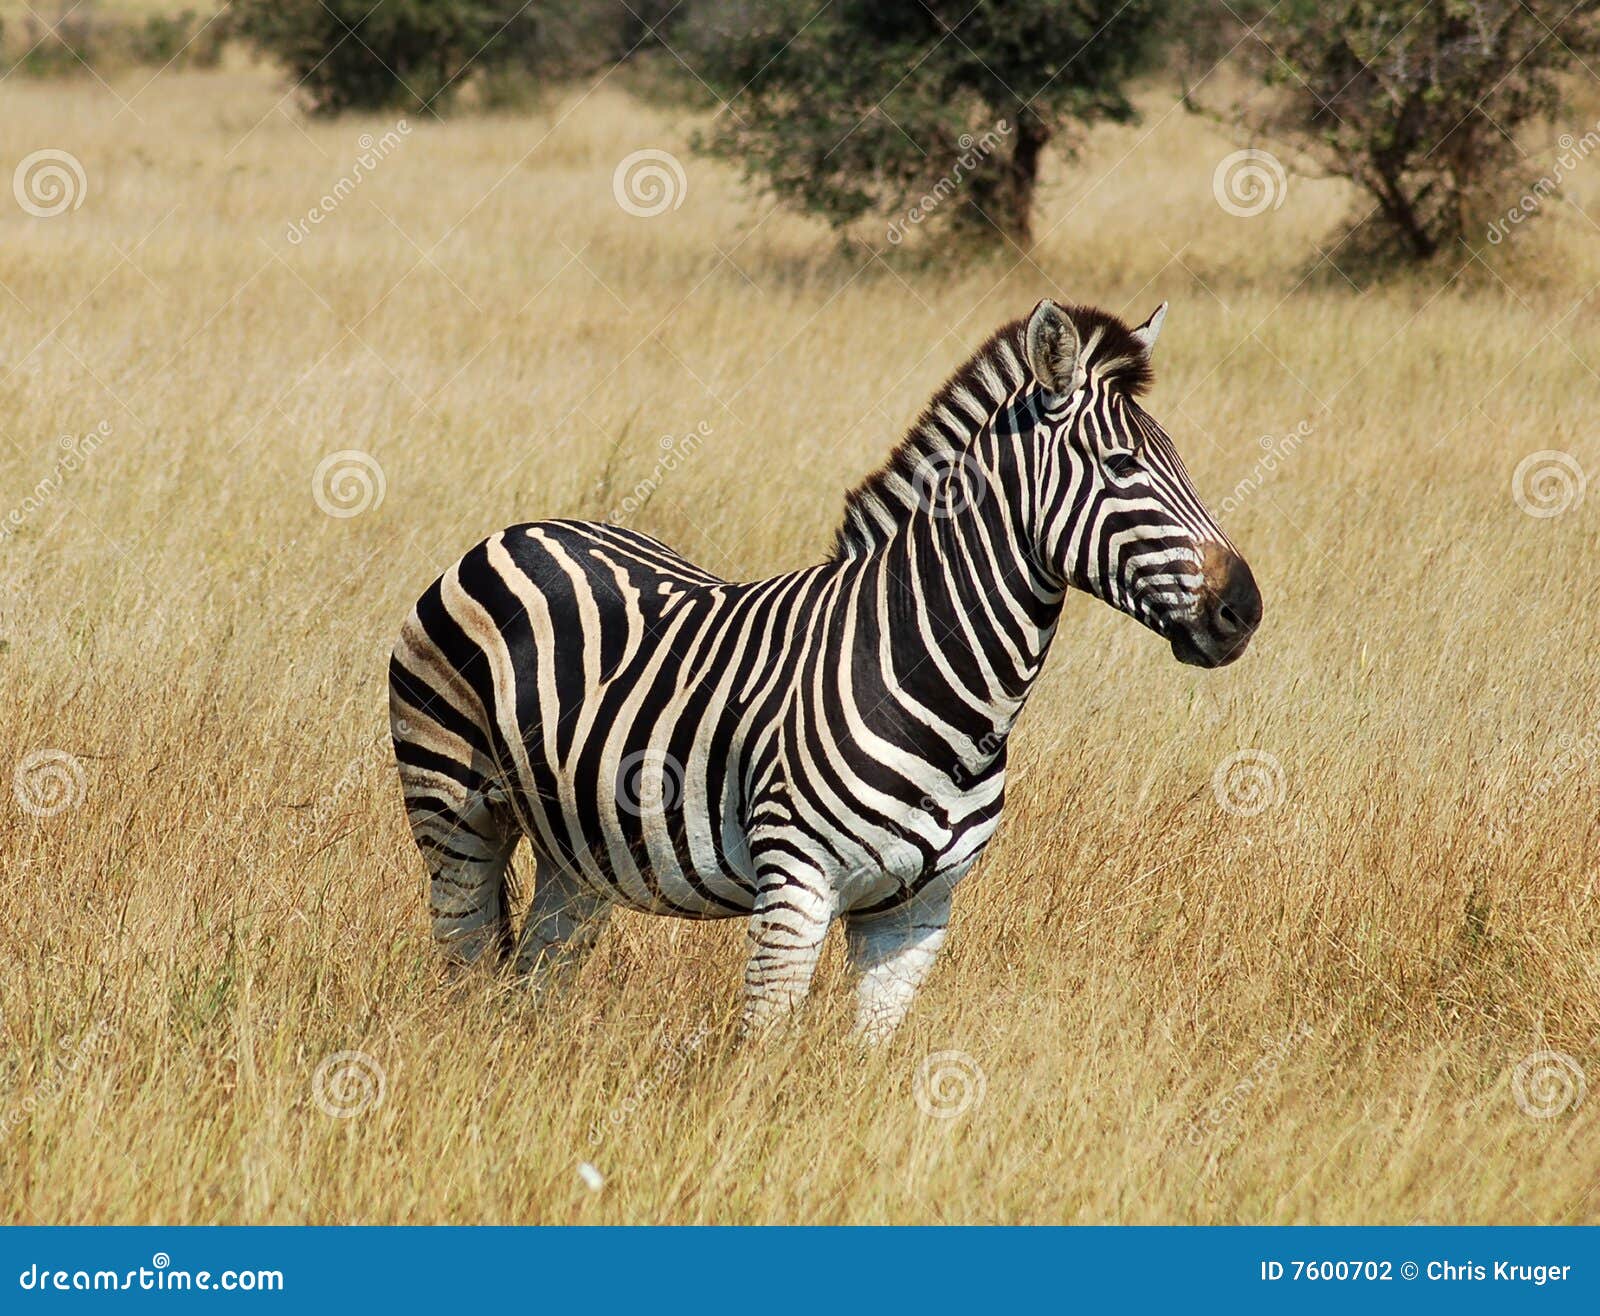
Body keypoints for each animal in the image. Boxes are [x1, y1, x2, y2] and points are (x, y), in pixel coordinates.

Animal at [388, 298, 1261, 1040]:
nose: (1243, 611)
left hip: (578, 851)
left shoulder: (916, 914)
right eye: (1120, 466)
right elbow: (761, 1053)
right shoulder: (797, 888)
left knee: (536, 977)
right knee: (465, 966)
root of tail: (519, 530)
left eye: (1180, 460)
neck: (947, 689)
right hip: (455, 816)